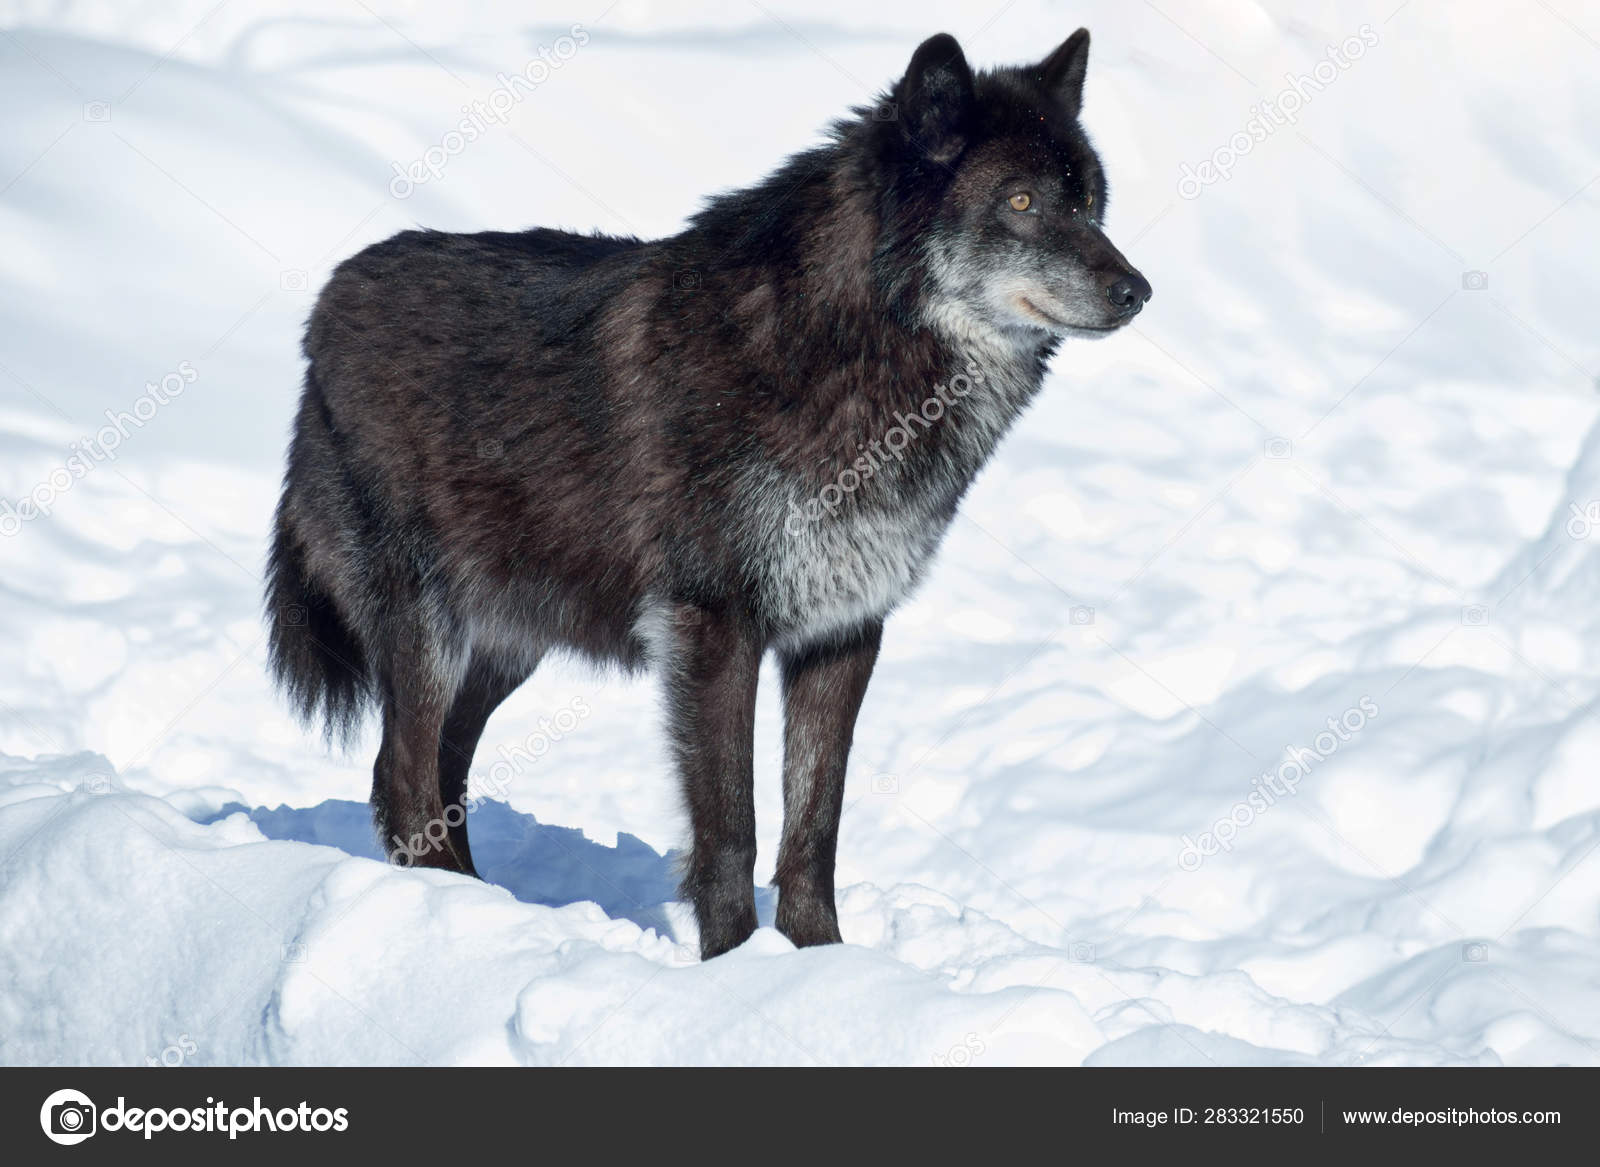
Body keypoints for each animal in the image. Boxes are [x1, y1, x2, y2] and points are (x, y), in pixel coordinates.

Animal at [267, 29, 1150, 959]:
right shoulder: (717, 625)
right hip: (430, 627)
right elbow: (732, 827)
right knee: (404, 777)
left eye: (1091, 203)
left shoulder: (844, 633)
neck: (854, 351)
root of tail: (326, 301)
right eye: (1021, 200)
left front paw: (820, 961)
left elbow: (814, 825)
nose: (1138, 290)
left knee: (436, 769)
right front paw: (735, 961)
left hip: (510, 642)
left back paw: (477, 902)